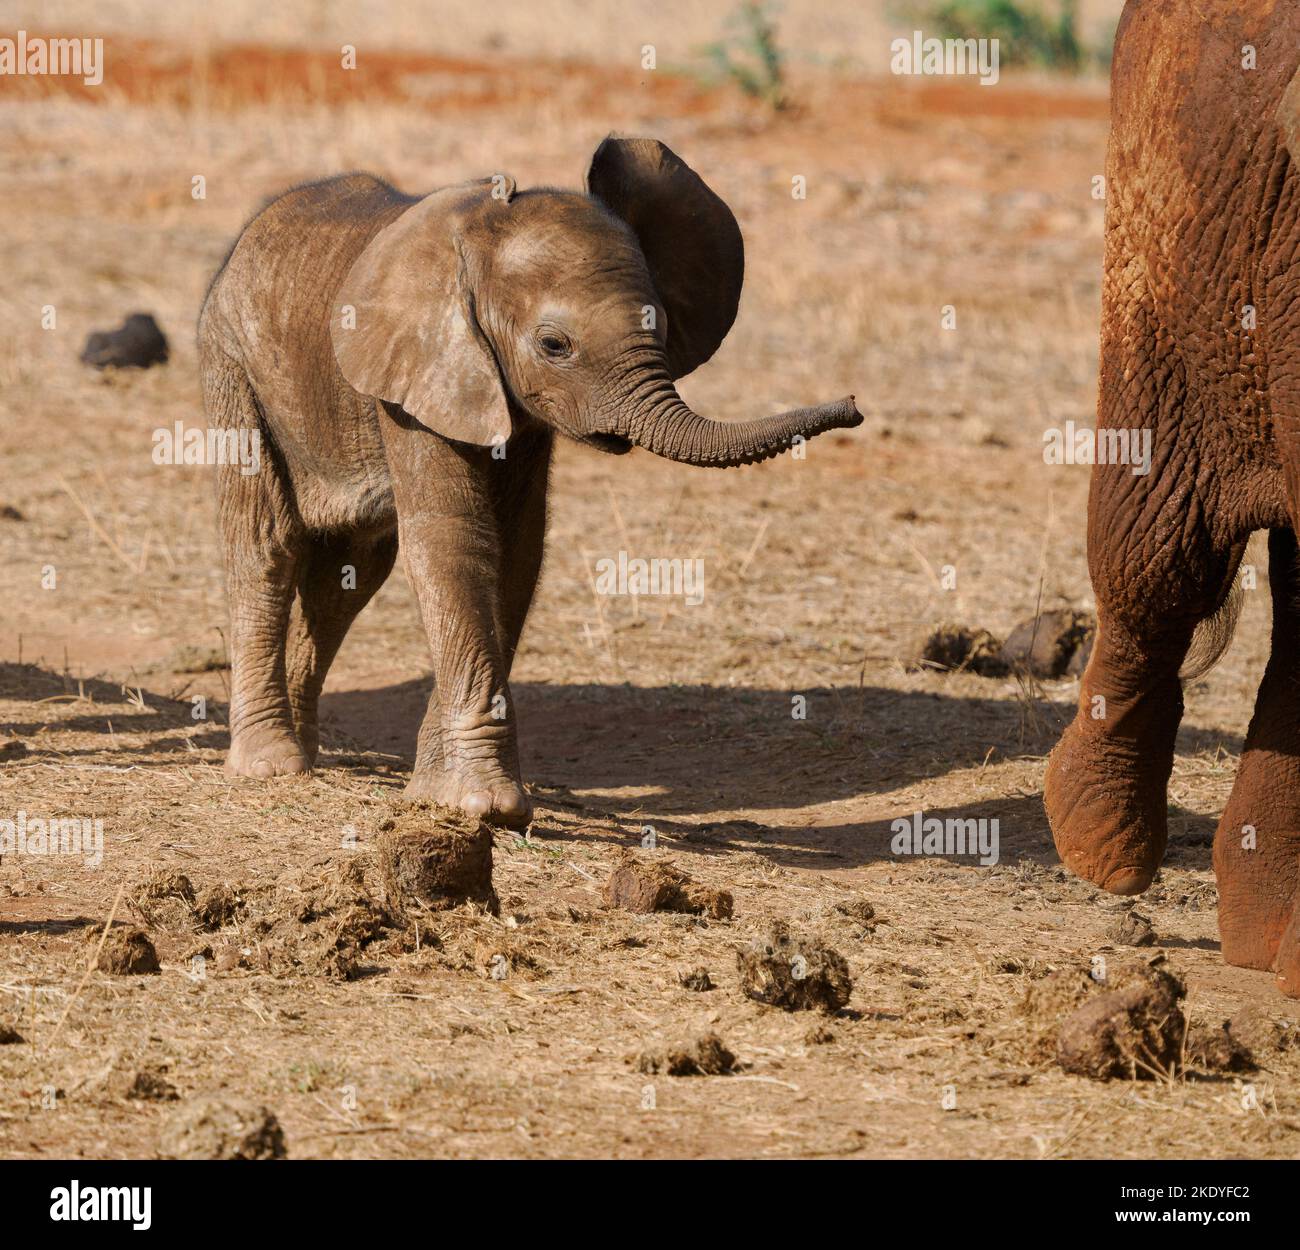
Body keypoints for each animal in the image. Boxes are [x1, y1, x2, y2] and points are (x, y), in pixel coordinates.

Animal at [198, 136, 861, 827]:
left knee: (347, 576)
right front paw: (483, 806)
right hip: (231, 360)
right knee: (267, 544)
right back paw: (271, 765)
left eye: (660, 324)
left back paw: (304, 750)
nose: (854, 404)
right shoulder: (421, 379)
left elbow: (514, 554)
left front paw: (439, 794)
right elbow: (455, 543)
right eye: (554, 345)